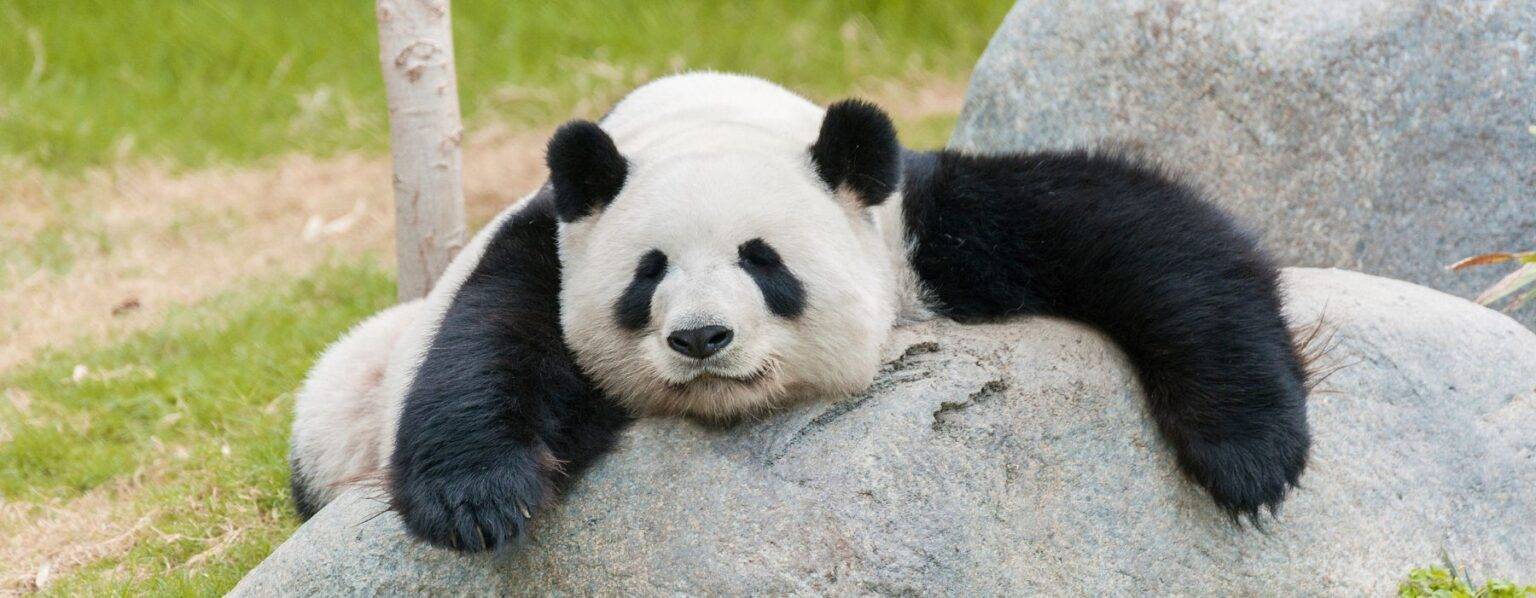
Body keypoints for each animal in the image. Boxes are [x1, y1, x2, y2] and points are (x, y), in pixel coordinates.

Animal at [289, 72, 1310, 553]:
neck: (702, 113)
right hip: (339, 405)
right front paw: (478, 499)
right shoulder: (549, 241)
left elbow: (1130, 229)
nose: (702, 338)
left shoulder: (912, 225)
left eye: (763, 261)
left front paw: (1250, 453)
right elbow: (489, 340)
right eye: (648, 275)